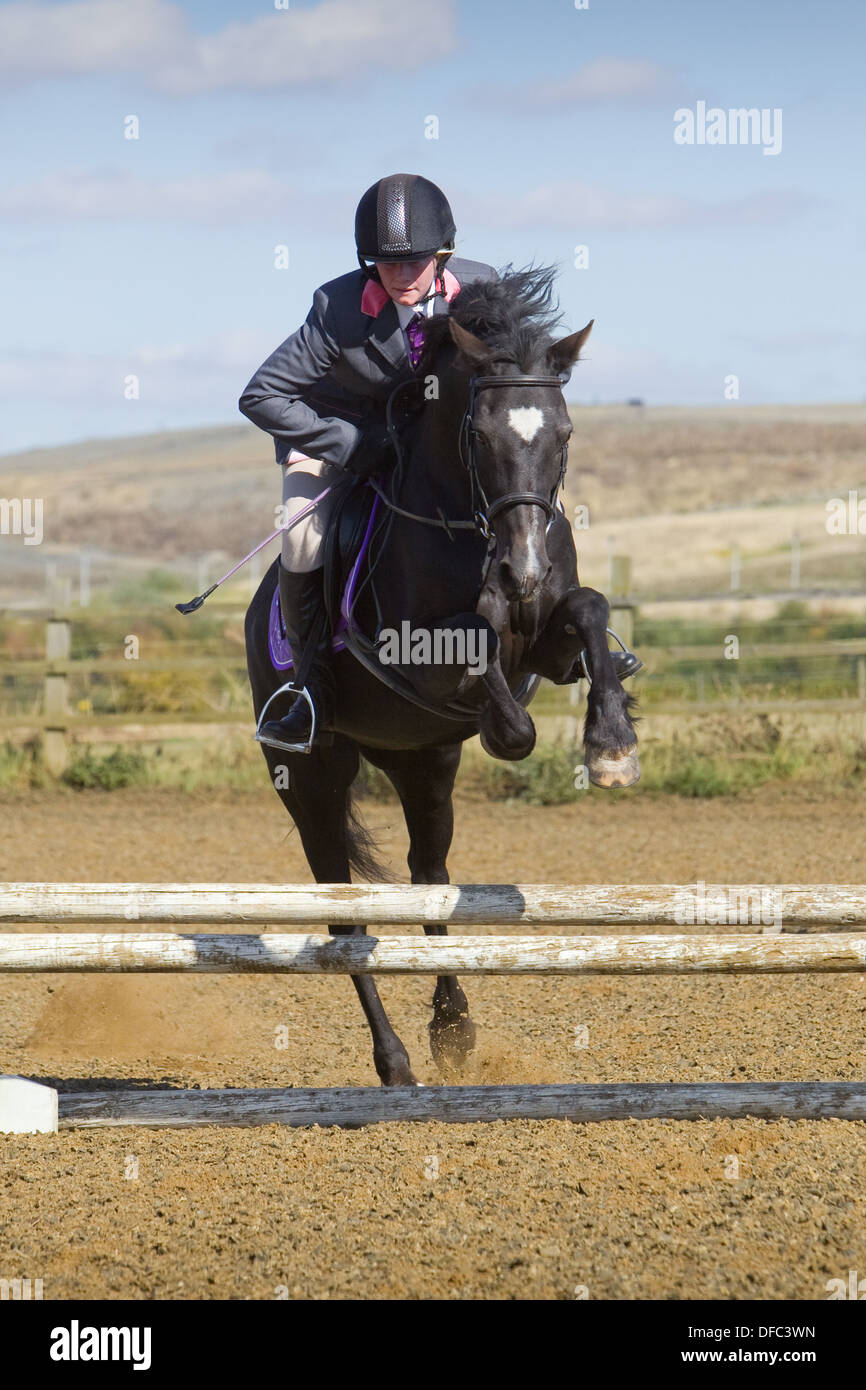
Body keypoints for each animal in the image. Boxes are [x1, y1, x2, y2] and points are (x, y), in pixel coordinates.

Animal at [244, 265, 639, 1087]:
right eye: (479, 435)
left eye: (564, 434)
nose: (522, 572)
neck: (471, 527)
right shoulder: (413, 656)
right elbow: (489, 682)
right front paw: (502, 721)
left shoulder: (549, 647)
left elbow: (587, 612)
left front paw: (612, 745)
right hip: (312, 777)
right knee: (346, 917)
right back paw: (395, 1063)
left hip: (420, 764)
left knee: (430, 881)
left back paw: (453, 1029)